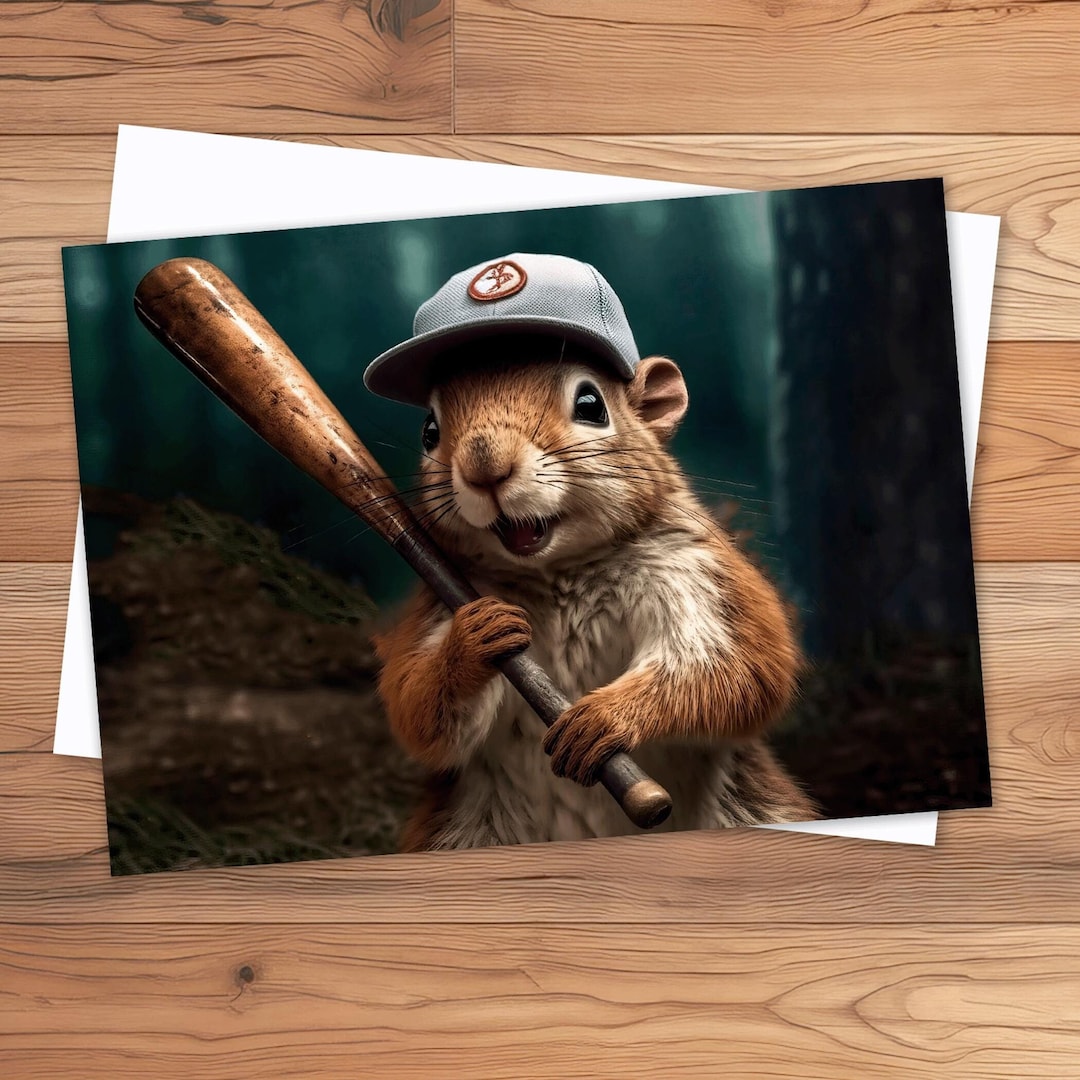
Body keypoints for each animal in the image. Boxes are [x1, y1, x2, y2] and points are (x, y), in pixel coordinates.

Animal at [366, 255, 817, 852]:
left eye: (590, 404)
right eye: (429, 430)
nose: (485, 465)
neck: (559, 574)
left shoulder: (698, 575)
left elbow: (732, 665)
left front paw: (605, 717)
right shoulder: (440, 600)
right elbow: (417, 705)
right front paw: (474, 639)